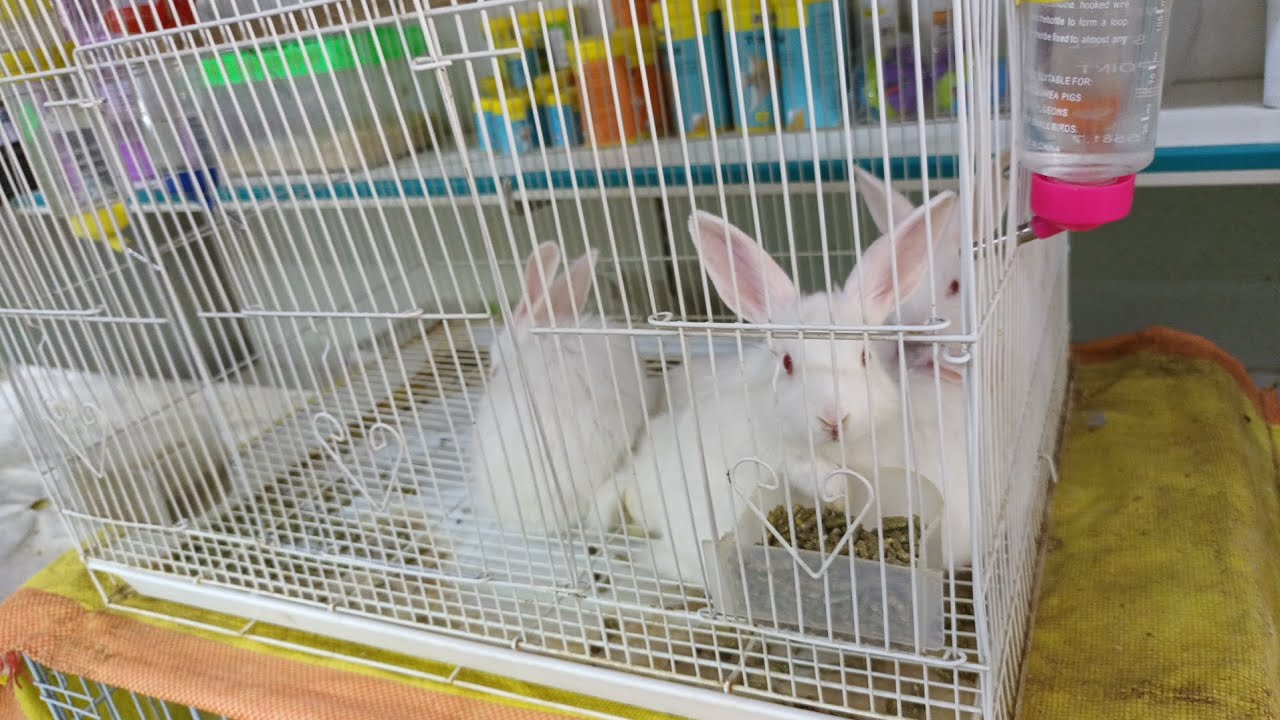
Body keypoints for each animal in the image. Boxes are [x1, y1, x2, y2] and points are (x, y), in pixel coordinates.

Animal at [587, 191, 959, 585]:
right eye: (787, 363)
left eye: (864, 356)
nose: (834, 418)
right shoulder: (773, 450)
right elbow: (801, 467)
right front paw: (837, 493)